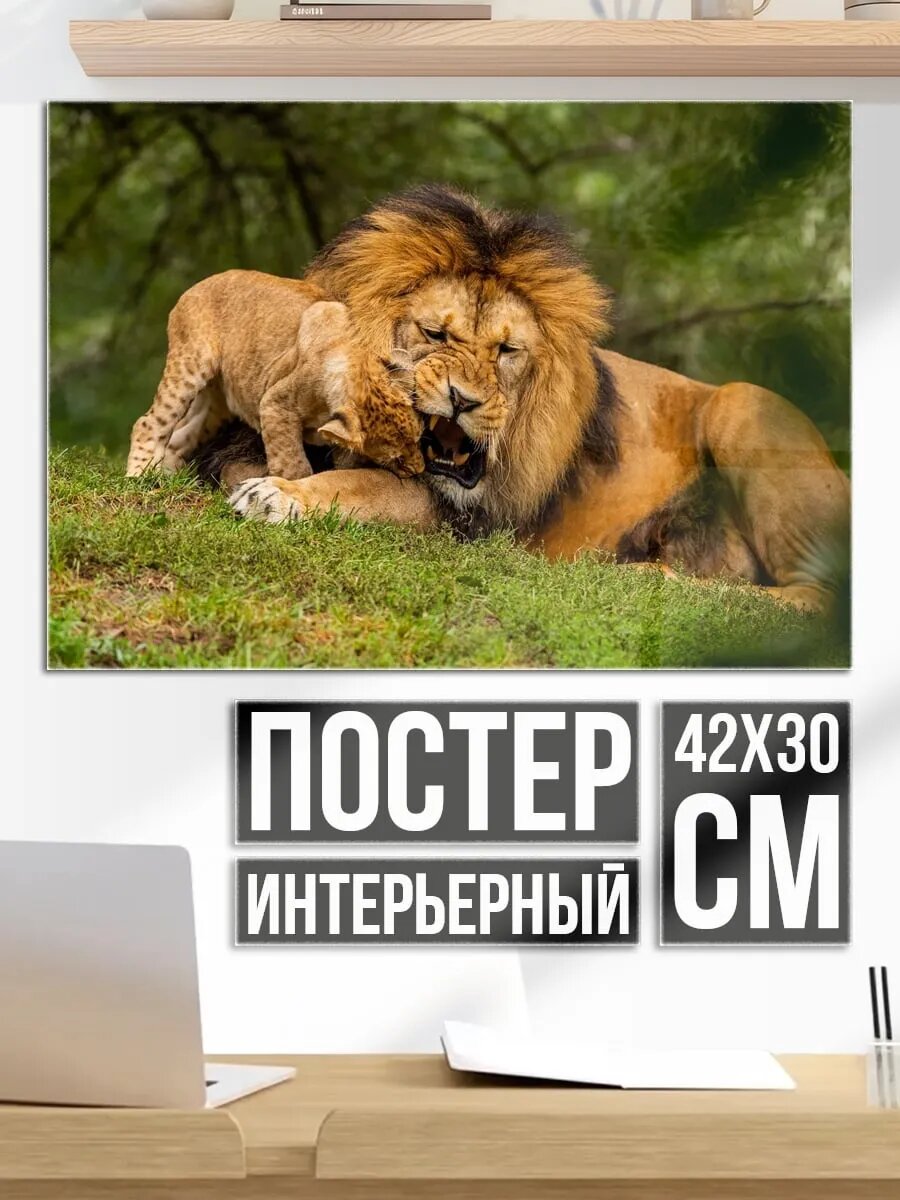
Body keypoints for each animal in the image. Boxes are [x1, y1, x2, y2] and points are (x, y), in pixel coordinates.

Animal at [195, 185, 849, 613]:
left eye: (507, 351)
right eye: (435, 334)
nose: (463, 400)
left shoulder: (458, 521)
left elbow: (358, 487)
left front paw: (280, 495)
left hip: (745, 404)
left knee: (815, 597)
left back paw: (649, 576)